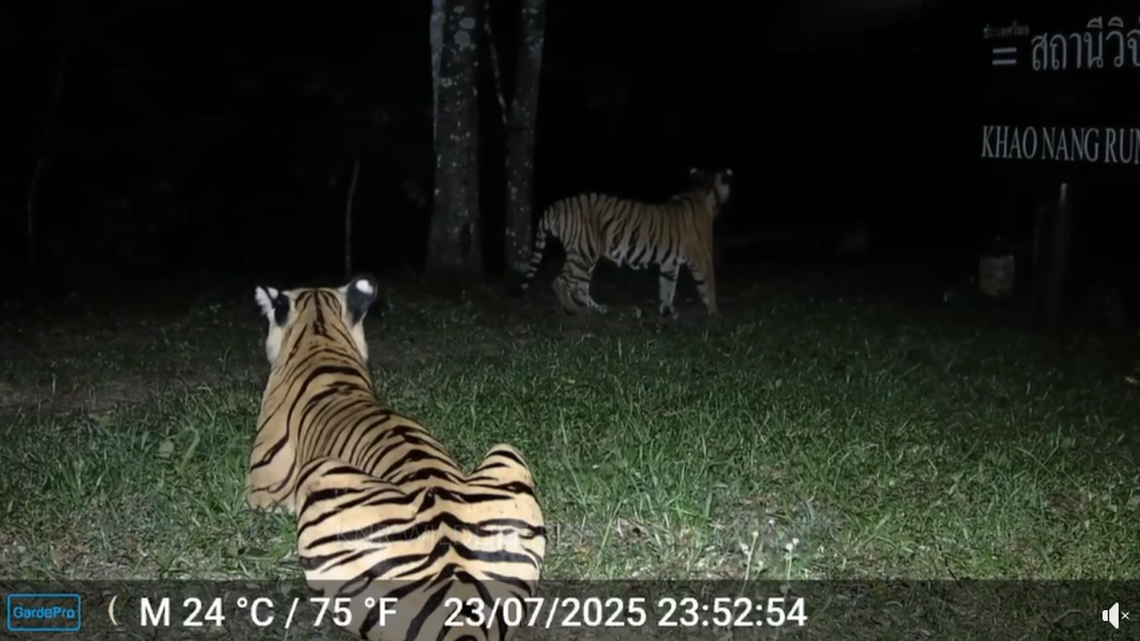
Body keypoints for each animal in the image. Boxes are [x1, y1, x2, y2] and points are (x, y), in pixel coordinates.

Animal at [512, 167, 733, 317]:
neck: (701, 193)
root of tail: (557, 205)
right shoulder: (703, 258)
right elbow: (709, 285)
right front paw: (715, 313)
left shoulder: (669, 263)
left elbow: (667, 286)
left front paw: (667, 310)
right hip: (583, 253)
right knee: (561, 282)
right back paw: (572, 309)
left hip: (584, 255)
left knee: (580, 286)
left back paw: (597, 308)